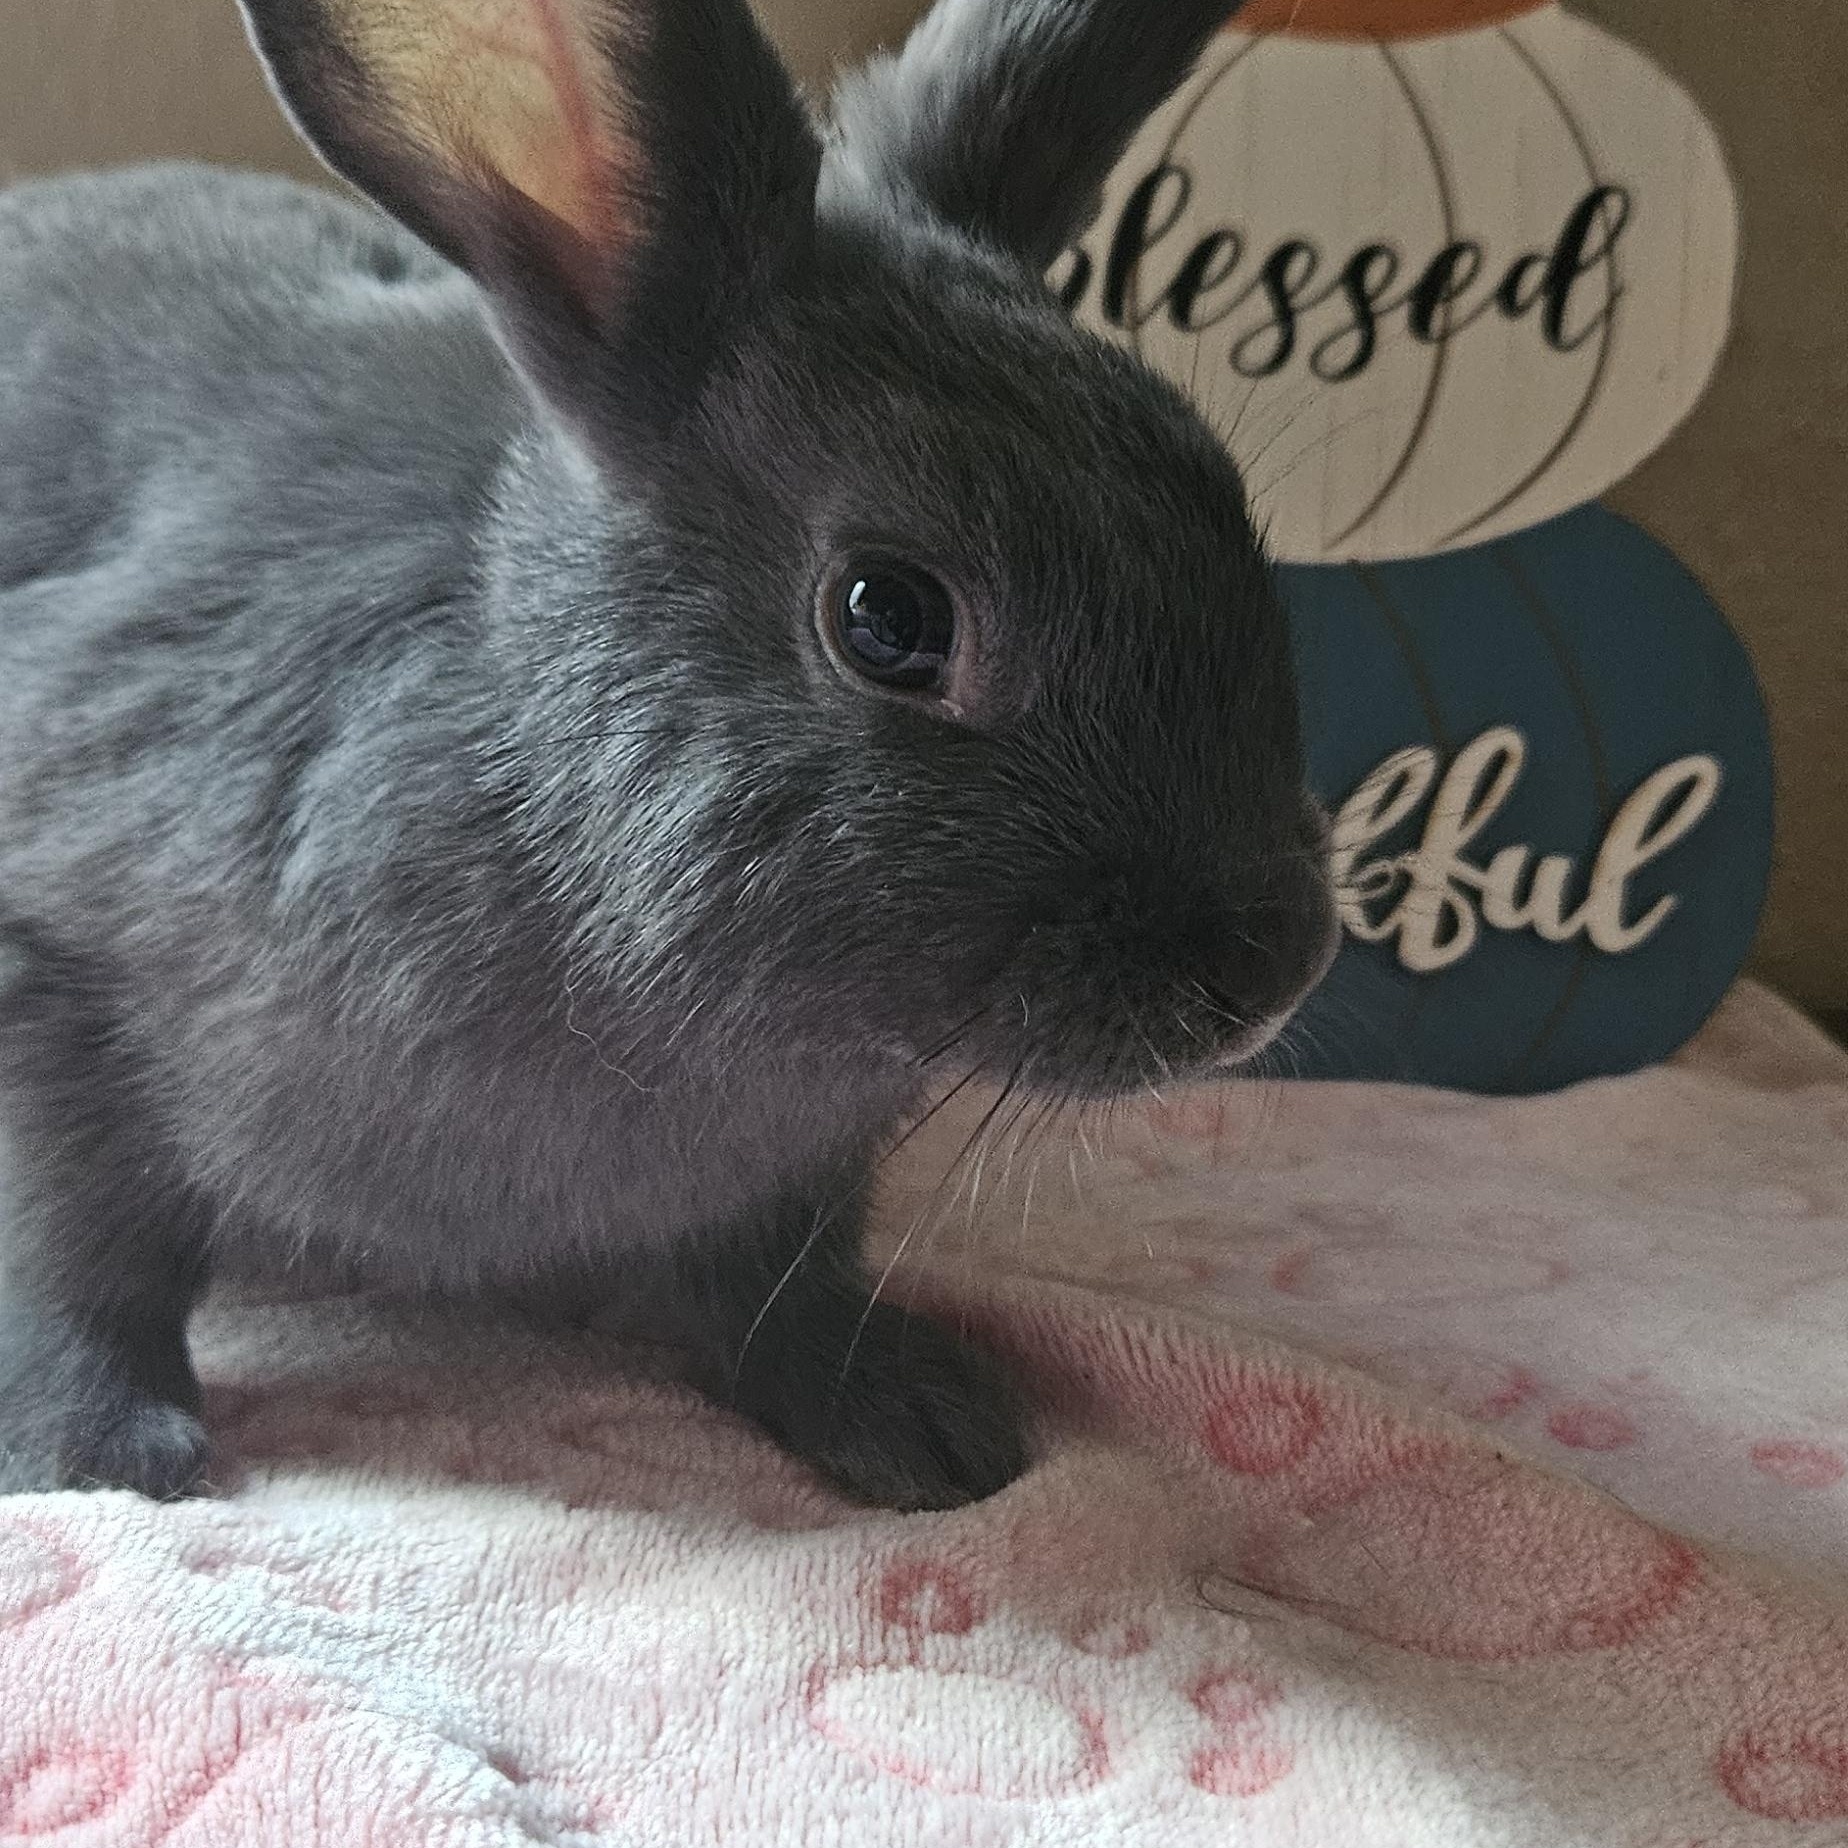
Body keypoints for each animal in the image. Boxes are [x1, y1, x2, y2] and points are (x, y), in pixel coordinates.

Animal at [0, 0, 1337, 1512]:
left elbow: (784, 1293)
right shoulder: (55, 969)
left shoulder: (788, 1189)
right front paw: (97, 1452)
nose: (1272, 970)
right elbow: (79, 1258)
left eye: (1217, 491)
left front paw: (921, 1427)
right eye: (888, 618)